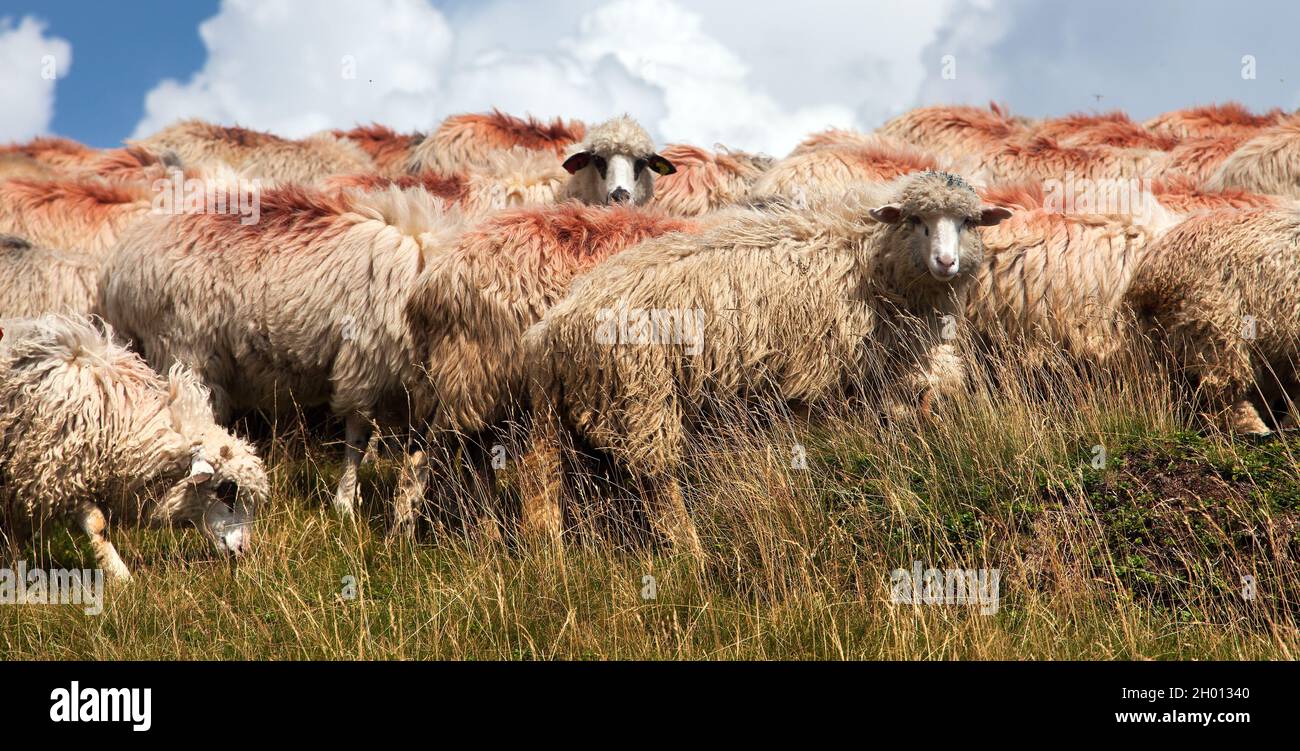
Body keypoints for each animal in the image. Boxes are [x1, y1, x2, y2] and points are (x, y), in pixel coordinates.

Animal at [97, 183, 466, 519]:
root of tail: (122, 263)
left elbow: (419, 453)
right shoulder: (364, 367)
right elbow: (357, 441)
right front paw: (346, 505)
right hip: (182, 347)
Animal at [519, 171, 1013, 549]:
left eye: (968, 222)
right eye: (915, 219)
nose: (946, 262)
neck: (865, 260)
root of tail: (555, 326)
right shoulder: (815, 377)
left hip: (556, 410)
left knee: (542, 476)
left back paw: (548, 551)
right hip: (642, 395)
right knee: (656, 481)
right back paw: (690, 550)